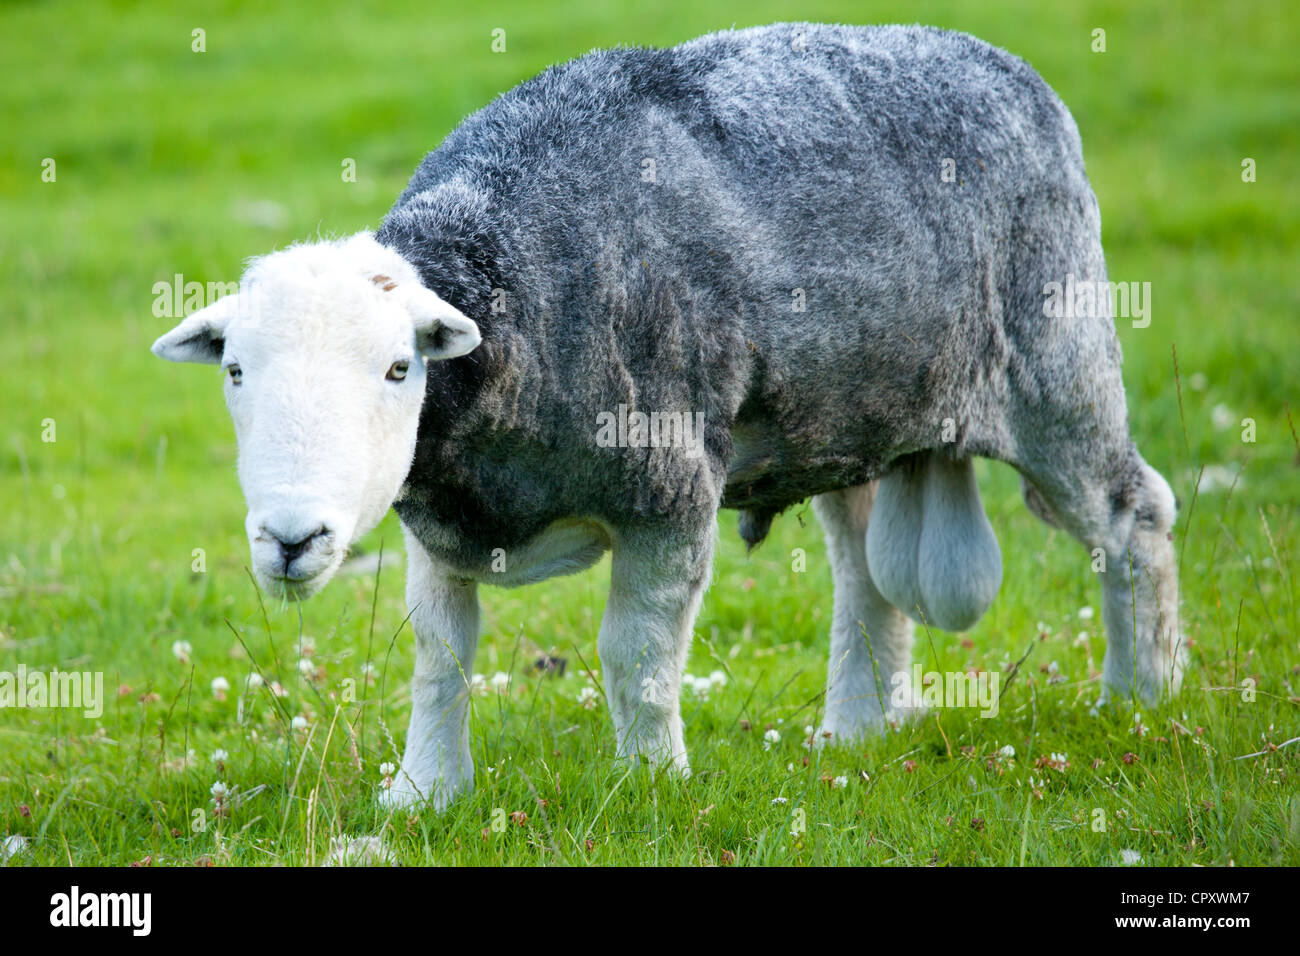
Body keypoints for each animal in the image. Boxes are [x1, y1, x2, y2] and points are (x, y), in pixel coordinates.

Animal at [152, 22, 1185, 810]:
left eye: (399, 368)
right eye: (235, 371)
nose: (292, 539)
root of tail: (1004, 65)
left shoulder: (670, 487)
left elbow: (634, 654)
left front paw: (649, 782)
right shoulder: (436, 523)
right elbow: (441, 655)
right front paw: (424, 794)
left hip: (1059, 371)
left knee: (1134, 515)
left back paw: (1141, 697)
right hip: (849, 416)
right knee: (864, 575)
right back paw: (858, 729)